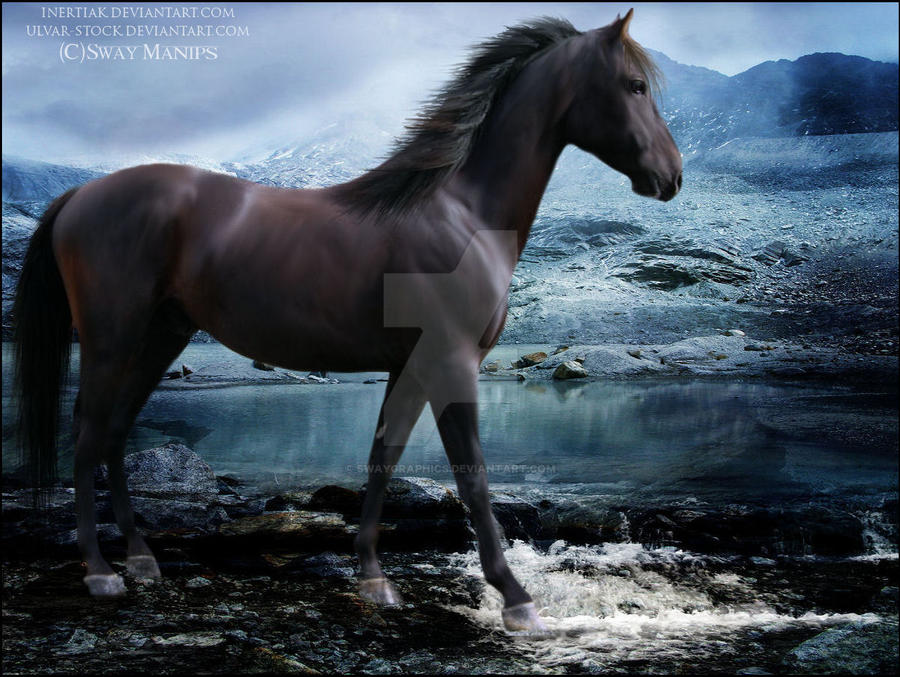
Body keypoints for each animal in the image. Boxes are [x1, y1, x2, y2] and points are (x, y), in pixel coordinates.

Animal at [13, 10, 680, 634]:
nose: (671, 176)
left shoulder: (411, 367)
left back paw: (142, 560)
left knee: (116, 432)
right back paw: (100, 571)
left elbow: (382, 455)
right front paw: (515, 599)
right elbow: (472, 475)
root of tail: (79, 196)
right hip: (111, 339)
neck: (462, 215)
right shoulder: (452, 363)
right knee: (89, 431)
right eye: (634, 86)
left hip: (159, 338)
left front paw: (372, 577)